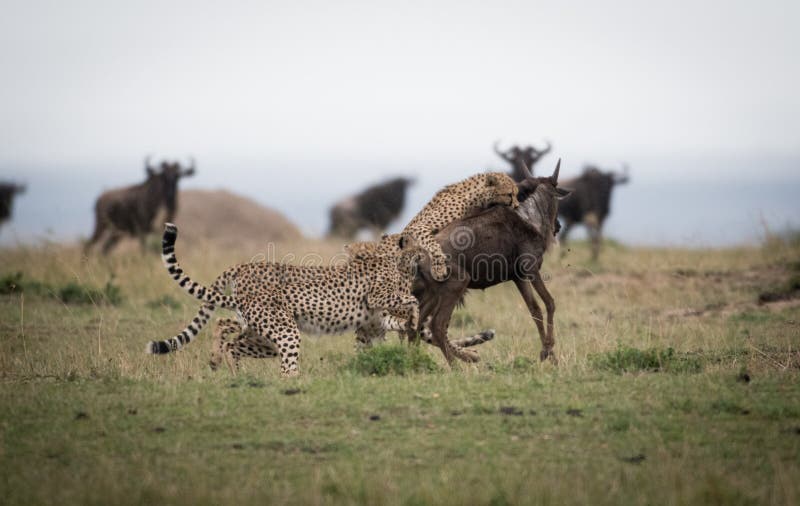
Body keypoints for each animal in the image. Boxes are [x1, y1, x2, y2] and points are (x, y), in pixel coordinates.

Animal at [146, 223, 424, 377]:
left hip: (263, 336)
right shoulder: (378, 299)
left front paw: (412, 326)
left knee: (229, 337)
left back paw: (233, 373)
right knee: (281, 368)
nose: (423, 253)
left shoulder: (378, 319)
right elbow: (412, 301)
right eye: (416, 244)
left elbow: (399, 319)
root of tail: (242, 266)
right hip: (284, 331)